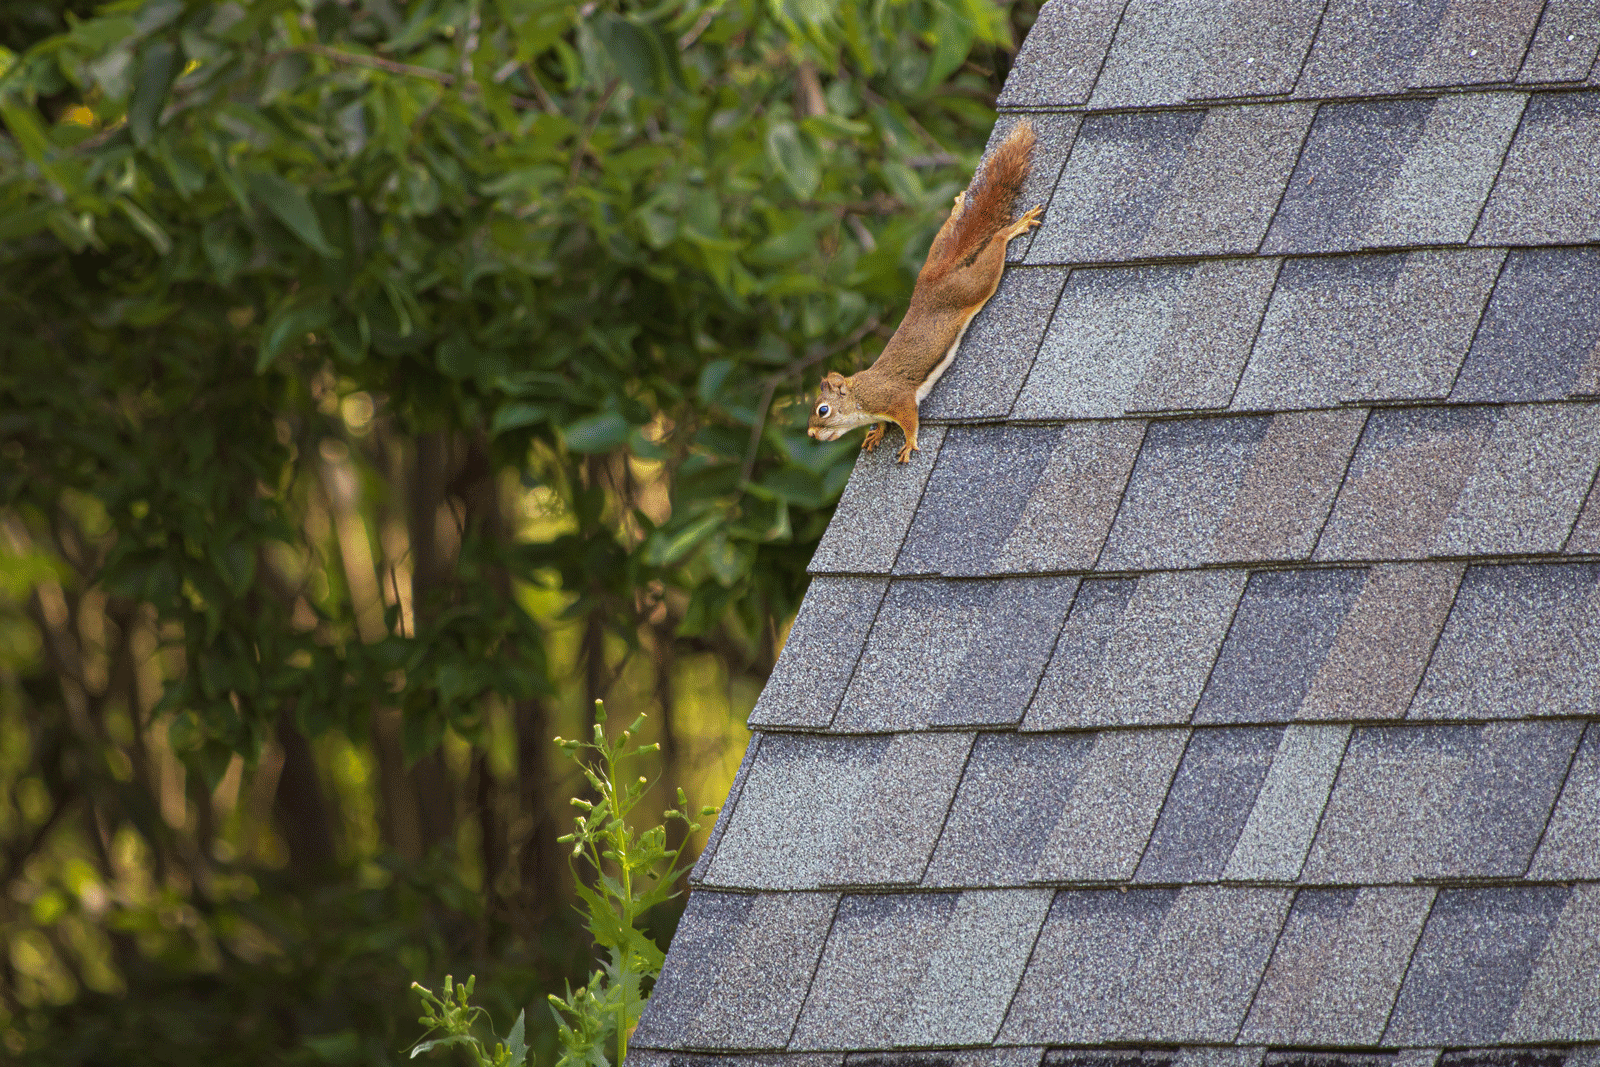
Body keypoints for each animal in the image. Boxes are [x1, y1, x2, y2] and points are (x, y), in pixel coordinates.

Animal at [806, 120, 1041, 463]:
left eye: (823, 410)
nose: (811, 434)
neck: (862, 393)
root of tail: (936, 276)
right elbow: (884, 424)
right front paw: (877, 433)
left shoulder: (895, 397)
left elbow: (909, 420)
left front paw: (908, 443)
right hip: (935, 253)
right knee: (945, 235)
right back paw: (958, 207)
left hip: (971, 286)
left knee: (994, 249)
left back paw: (1011, 229)